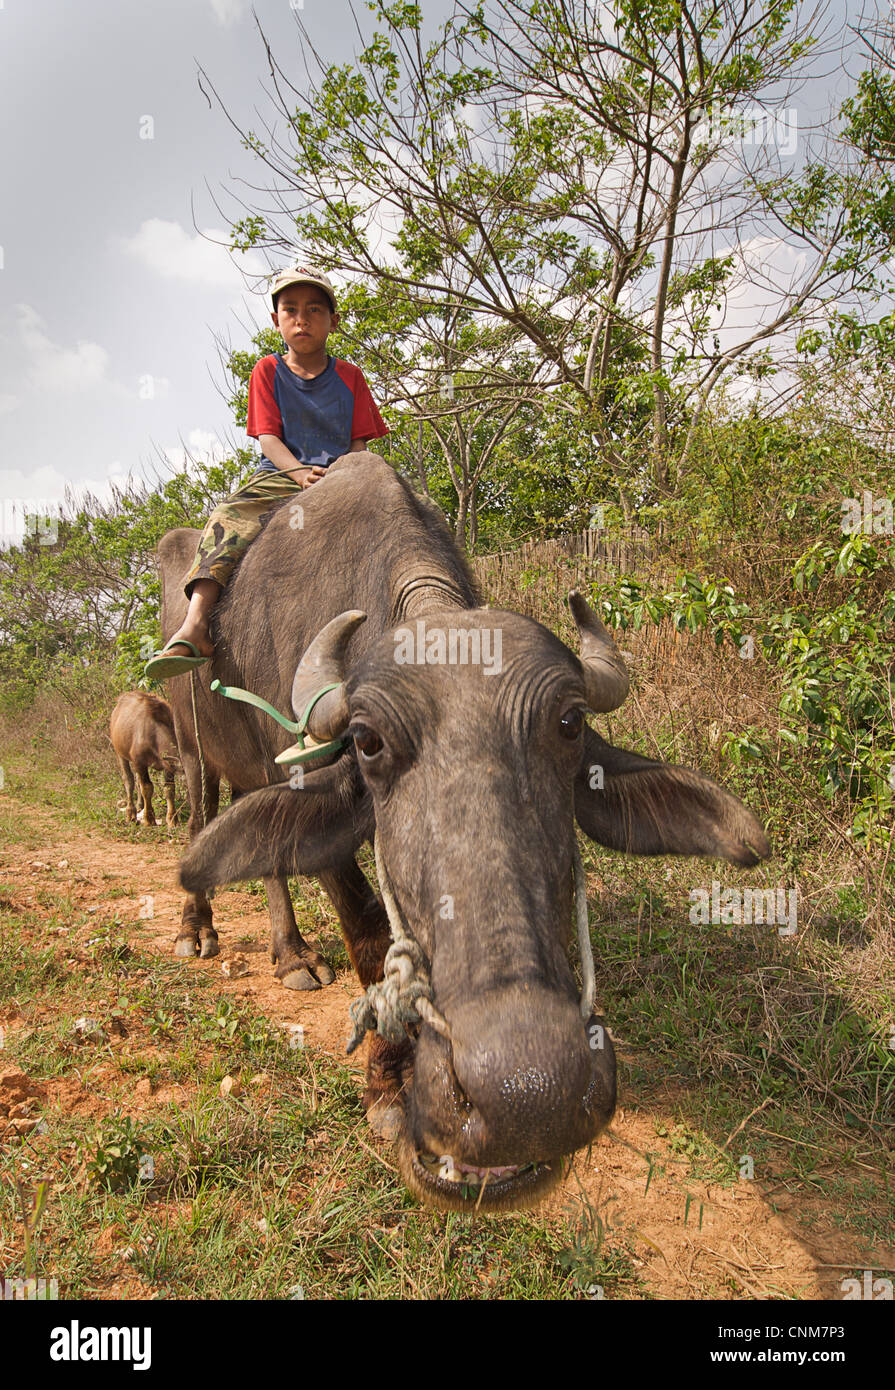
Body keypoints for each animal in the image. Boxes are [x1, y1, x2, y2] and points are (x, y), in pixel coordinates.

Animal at [161, 452, 768, 1212]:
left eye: (568, 723)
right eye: (367, 742)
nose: (526, 1094)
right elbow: (367, 931)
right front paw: (388, 1084)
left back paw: (292, 955)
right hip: (190, 745)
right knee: (199, 820)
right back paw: (197, 928)